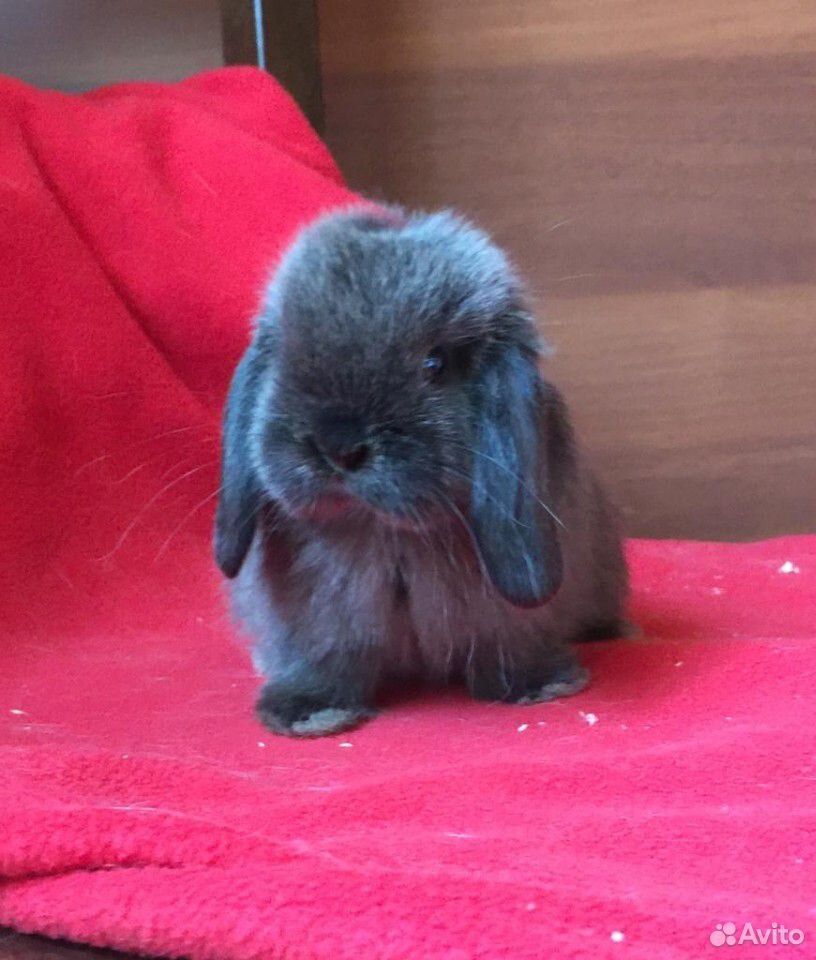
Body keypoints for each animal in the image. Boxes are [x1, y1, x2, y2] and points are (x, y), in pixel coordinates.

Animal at [214, 206, 628, 737]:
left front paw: (540, 685)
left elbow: (510, 645)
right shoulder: (318, 615)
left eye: (436, 363)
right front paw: (308, 712)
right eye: (286, 351)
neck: (389, 536)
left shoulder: (509, 618)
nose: (338, 446)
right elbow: (325, 658)